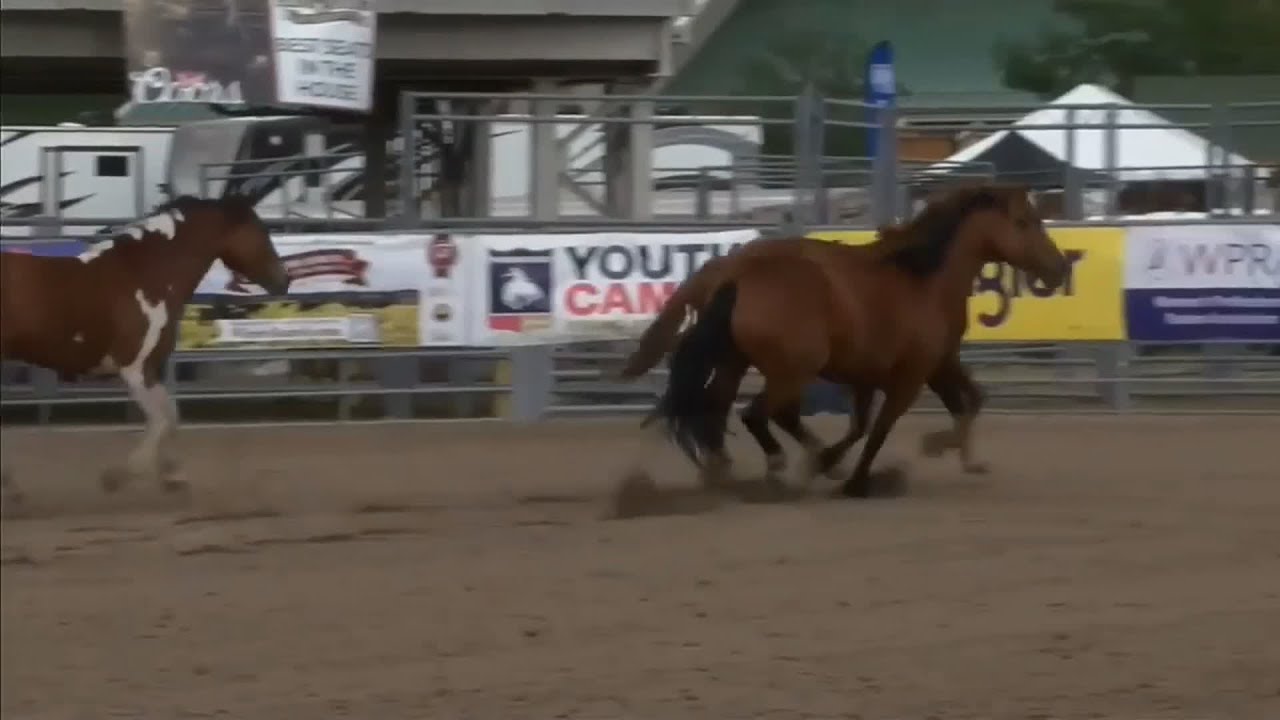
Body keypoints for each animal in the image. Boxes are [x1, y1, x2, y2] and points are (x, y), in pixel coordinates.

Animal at [0, 194, 289, 504]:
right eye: (261, 231)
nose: (285, 280)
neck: (146, 276)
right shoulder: (133, 368)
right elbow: (160, 421)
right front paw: (116, 478)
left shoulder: (150, 368)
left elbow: (172, 415)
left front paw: (174, 476)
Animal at [645, 184, 1069, 498]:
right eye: (1024, 221)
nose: (1060, 268)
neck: (924, 281)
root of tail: (736, 278)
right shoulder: (910, 377)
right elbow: (880, 428)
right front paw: (858, 478)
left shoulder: (926, 366)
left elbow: (966, 403)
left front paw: (958, 454)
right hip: (793, 370)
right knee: (758, 413)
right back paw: (778, 469)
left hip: (742, 363)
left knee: (724, 408)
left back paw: (729, 471)